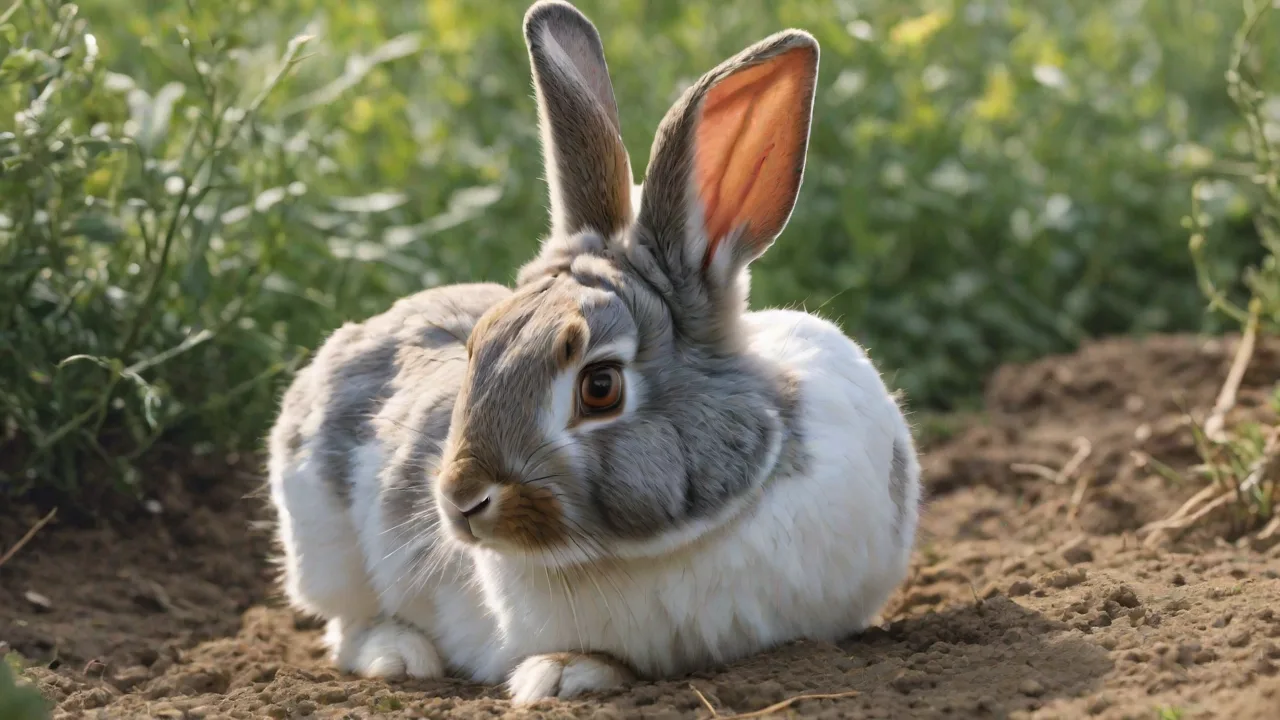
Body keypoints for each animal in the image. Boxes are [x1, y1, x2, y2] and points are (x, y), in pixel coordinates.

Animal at [266, 0, 921, 704]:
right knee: (347, 625)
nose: (461, 501)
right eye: (475, 351)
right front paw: (560, 674)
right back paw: (401, 655)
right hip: (323, 544)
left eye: (600, 386)